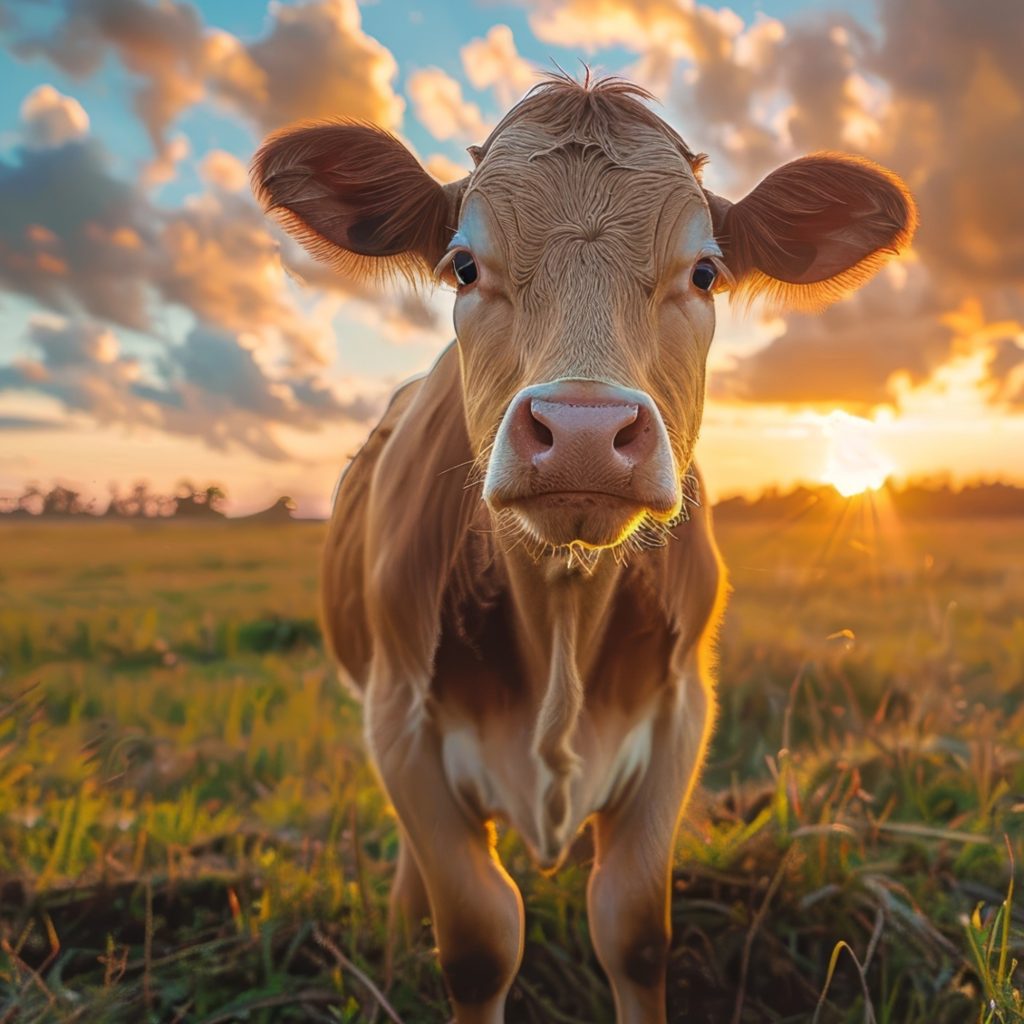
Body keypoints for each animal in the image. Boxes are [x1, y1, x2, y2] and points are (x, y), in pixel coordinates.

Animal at [252, 73, 915, 1023]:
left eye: (704, 272)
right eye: (464, 264)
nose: (582, 433)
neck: (561, 608)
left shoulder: (679, 715)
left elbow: (633, 931)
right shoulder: (399, 720)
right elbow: (479, 940)